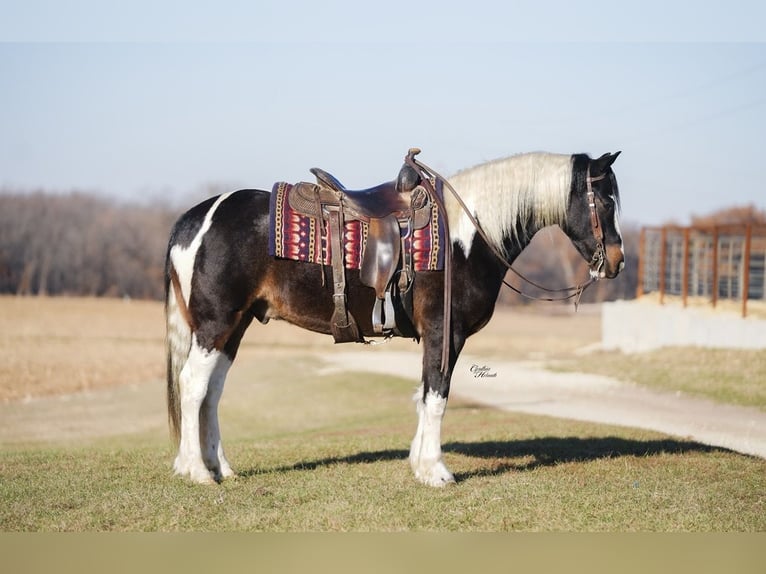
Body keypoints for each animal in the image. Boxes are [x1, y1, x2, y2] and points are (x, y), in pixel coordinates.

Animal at [164, 150, 624, 487]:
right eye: (605, 200)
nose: (617, 261)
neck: (466, 236)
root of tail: (195, 218)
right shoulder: (444, 332)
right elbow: (437, 396)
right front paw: (436, 471)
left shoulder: (436, 337)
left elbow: (424, 395)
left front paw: (420, 465)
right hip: (214, 324)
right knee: (193, 386)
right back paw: (196, 471)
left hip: (233, 327)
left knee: (212, 393)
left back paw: (221, 467)